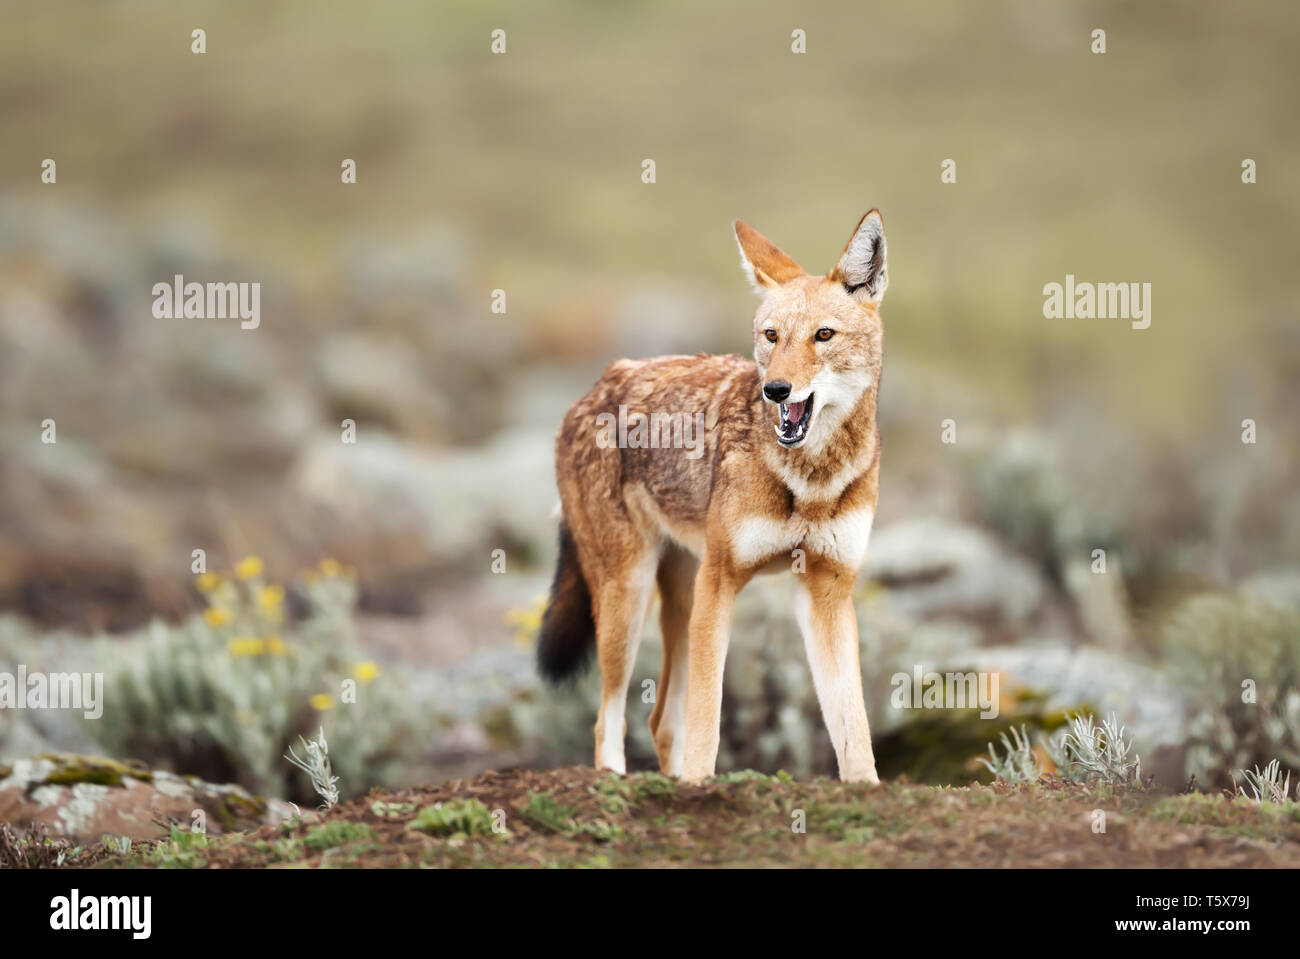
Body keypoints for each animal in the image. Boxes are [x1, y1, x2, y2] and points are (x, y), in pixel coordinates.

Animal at [537, 211, 889, 784]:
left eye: (823, 335)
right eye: (771, 336)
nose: (776, 390)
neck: (810, 481)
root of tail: (597, 384)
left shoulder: (828, 592)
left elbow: (854, 730)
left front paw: (865, 789)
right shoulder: (721, 583)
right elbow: (708, 719)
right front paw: (702, 786)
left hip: (678, 596)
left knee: (659, 722)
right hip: (629, 600)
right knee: (610, 720)